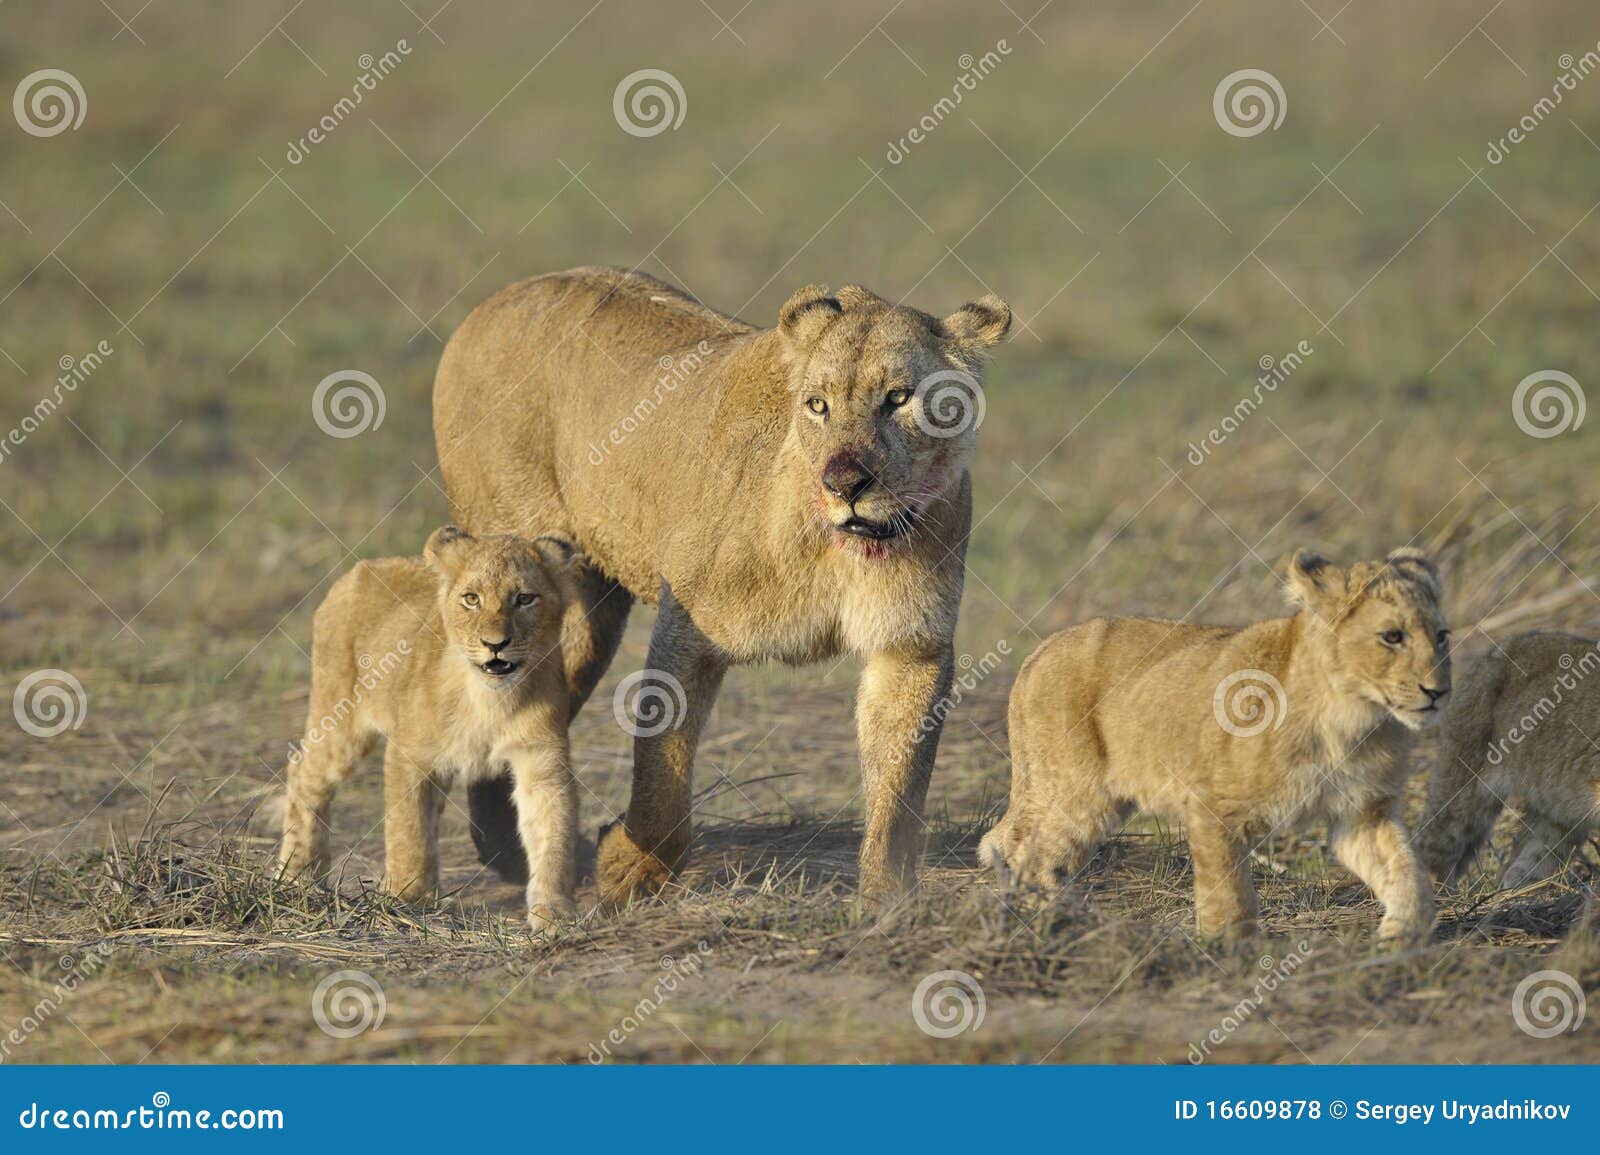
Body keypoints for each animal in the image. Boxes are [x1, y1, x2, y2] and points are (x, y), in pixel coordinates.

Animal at [277, 525, 582, 932]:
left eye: (524, 598)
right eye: (471, 599)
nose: (495, 644)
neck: (489, 699)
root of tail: (362, 567)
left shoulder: (541, 760)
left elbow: (553, 834)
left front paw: (554, 912)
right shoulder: (410, 753)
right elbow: (409, 830)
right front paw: (408, 898)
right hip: (339, 720)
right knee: (304, 773)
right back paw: (299, 872)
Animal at [432, 267, 1011, 908]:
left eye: (900, 398)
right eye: (818, 405)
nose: (845, 483)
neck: (839, 549)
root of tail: (496, 300)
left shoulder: (910, 647)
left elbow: (900, 786)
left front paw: (886, 899)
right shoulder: (687, 627)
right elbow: (661, 762)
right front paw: (628, 867)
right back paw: (510, 854)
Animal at [979, 547, 1453, 941]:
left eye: (1442, 636)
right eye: (1392, 636)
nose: (1438, 692)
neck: (1350, 717)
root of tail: (1039, 650)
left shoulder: (1363, 814)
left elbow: (1405, 869)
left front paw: (1405, 933)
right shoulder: (1213, 805)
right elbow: (1227, 887)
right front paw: (1231, 948)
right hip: (1078, 792)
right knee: (1033, 854)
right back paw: (1055, 922)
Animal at [1416, 632, 1600, 887]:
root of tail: (1503, 645)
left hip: (1557, 808)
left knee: (1528, 852)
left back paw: (1517, 887)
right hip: (1461, 788)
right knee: (1433, 844)